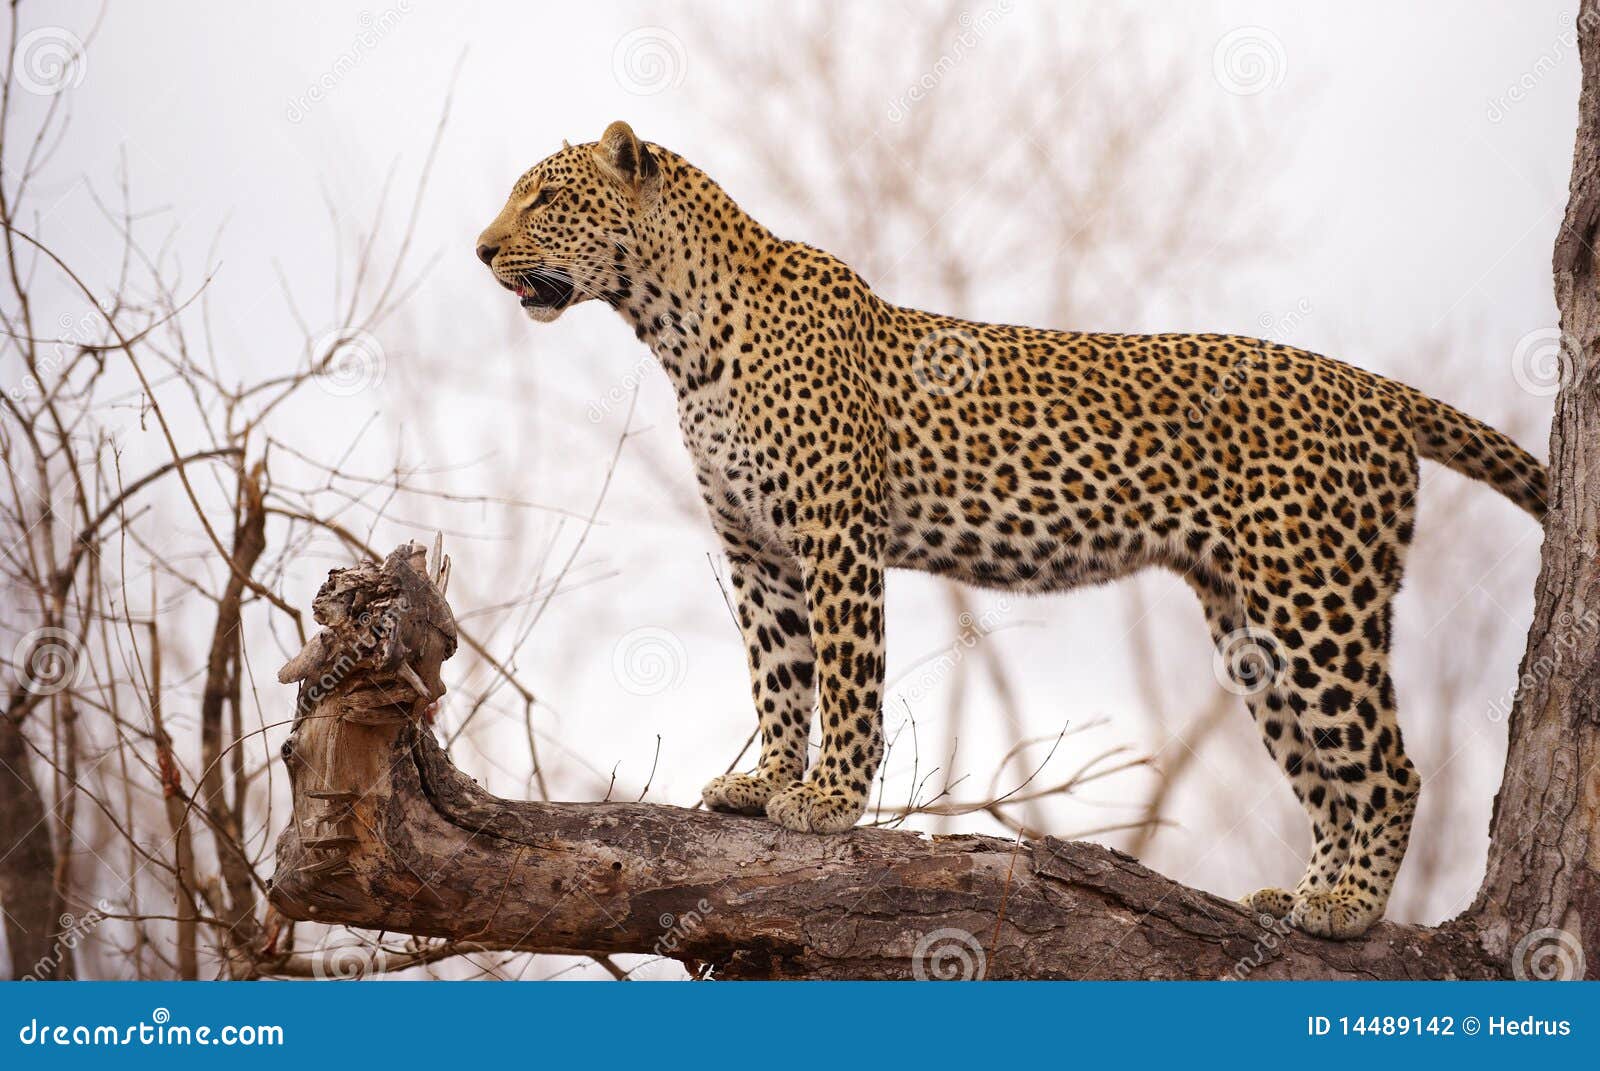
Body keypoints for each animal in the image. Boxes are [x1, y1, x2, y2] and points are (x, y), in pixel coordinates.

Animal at [475, 121, 1547, 939]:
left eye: (543, 197)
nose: (481, 250)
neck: (675, 332)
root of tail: (1370, 385)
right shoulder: (757, 553)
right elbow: (777, 678)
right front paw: (765, 780)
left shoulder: (835, 537)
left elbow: (847, 679)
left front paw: (828, 799)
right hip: (1251, 623)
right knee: (1327, 778)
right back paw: (1307, 893)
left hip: (1316, 599)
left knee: (1388, 768)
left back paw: (1352, 910)